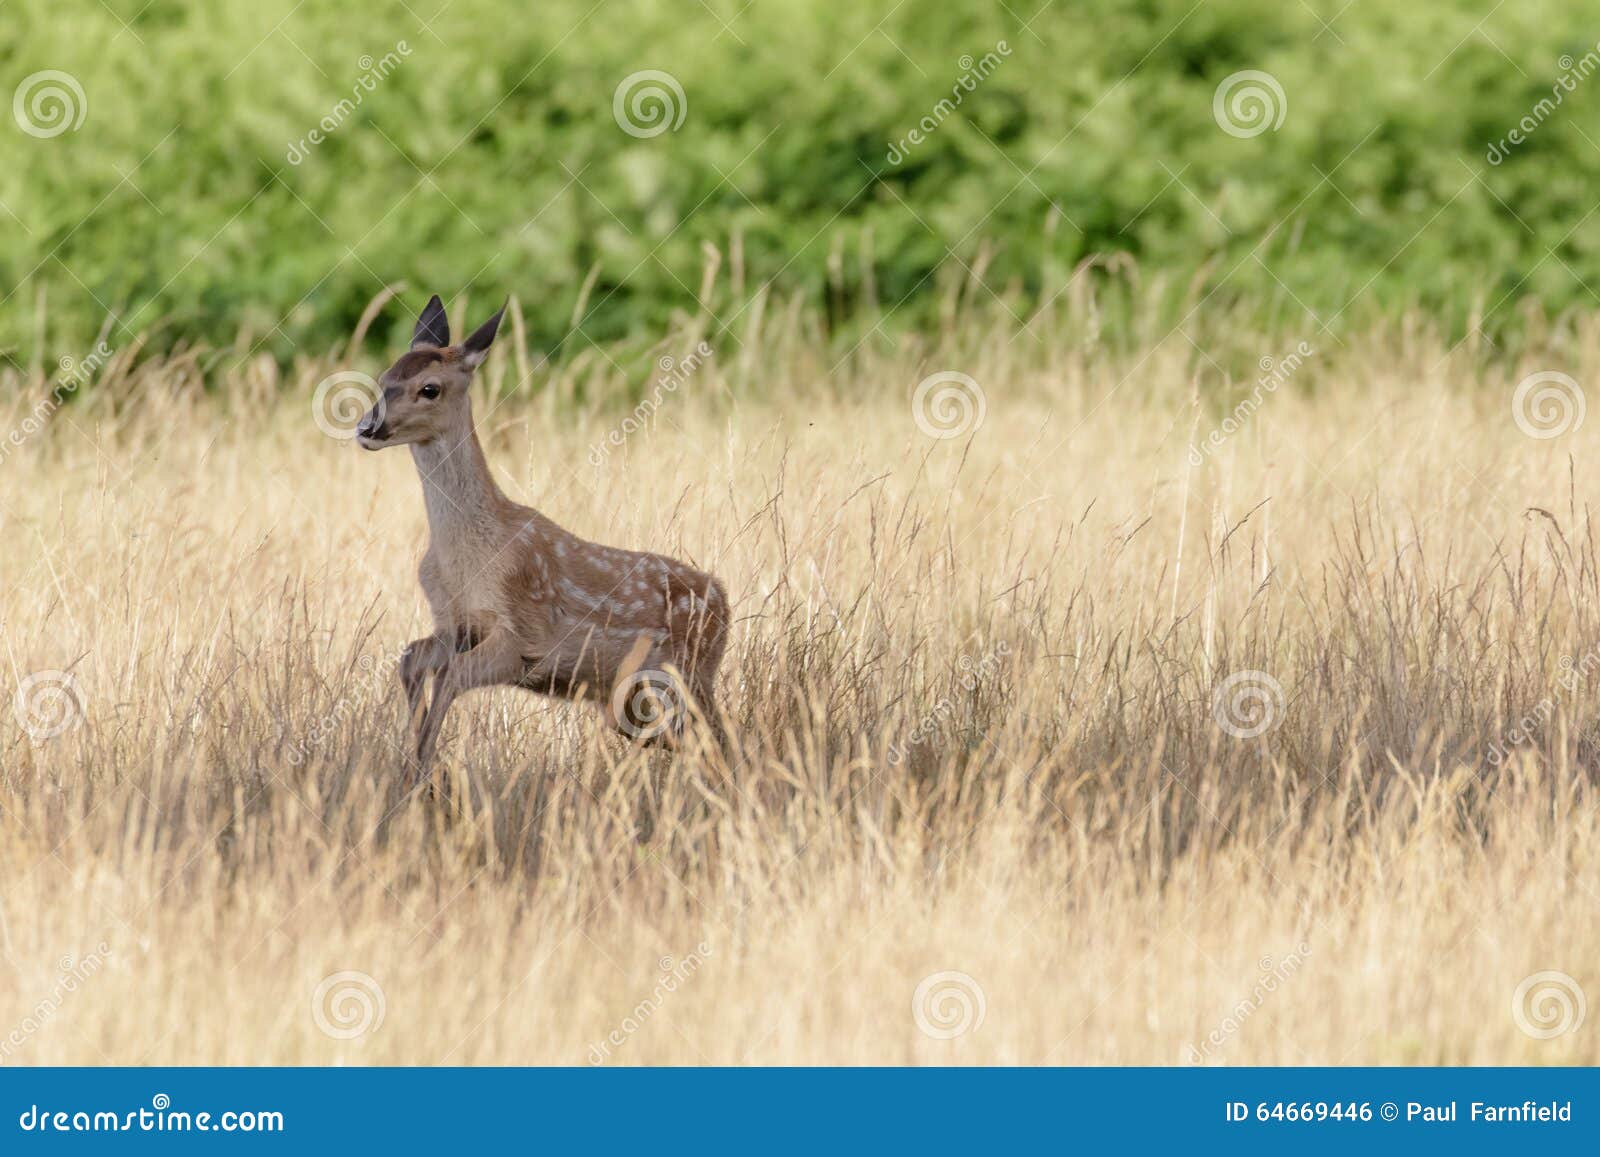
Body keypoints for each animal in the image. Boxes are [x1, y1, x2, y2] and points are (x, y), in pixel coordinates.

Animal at [353, 294, 730, 790]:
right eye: (384, 379)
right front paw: (415, 769)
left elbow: (451, 677)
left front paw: (424, 776)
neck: (464, 555)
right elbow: (412, 658)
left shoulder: (520, 634)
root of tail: (724, 601)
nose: (367, 428)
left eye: (429, 388)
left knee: (719, 741)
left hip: (689, 674)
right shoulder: (455, 623)